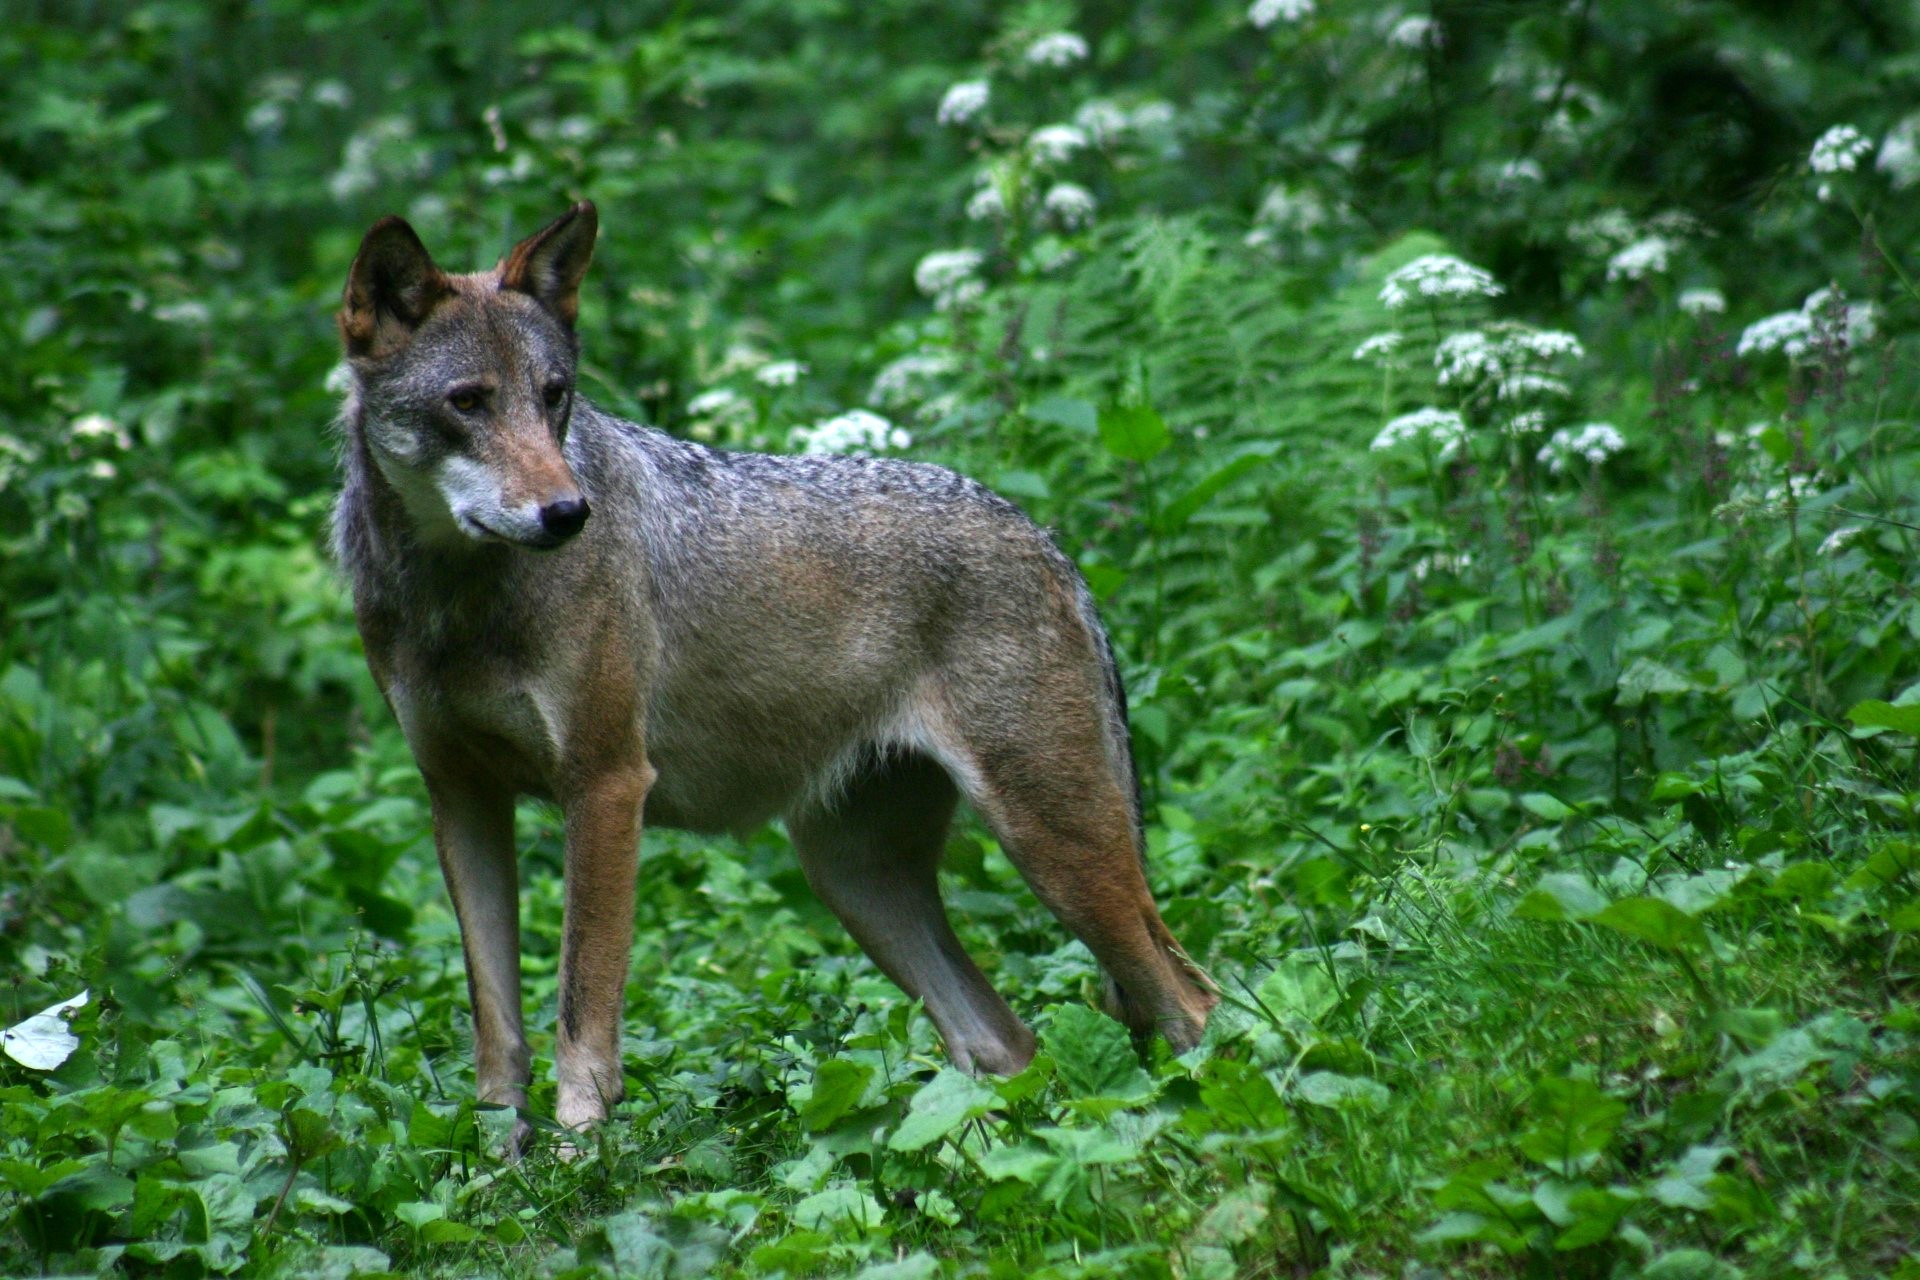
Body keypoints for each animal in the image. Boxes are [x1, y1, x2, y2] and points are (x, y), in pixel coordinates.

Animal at [332, 202, 1216, 1146]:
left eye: (554, 396)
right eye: (468, 402)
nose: (569, 513)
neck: (453, 600)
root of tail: (1050, 543)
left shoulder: (606, 787)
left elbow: (582, 1013)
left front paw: (580, 1156)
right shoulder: (461, 800)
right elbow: (498, 1030)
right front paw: (498, 1163)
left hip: (1051, 851)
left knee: (1191, 1005)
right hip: (855, 879)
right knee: (1006, 1043)